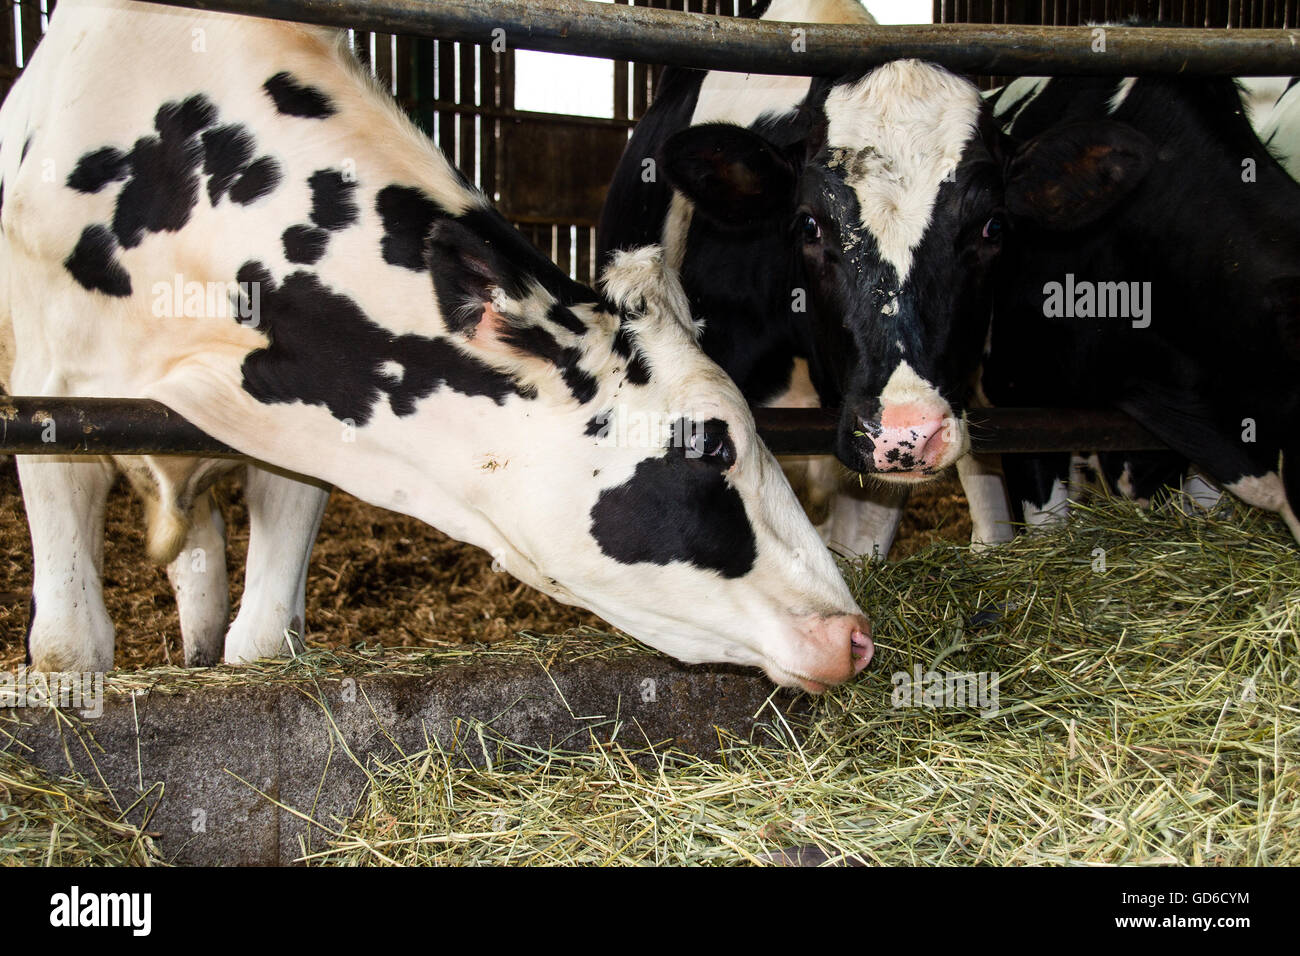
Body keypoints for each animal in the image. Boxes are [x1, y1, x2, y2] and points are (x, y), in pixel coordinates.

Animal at [0, 0, 874, 693]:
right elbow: (69, 648)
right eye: (712, 443)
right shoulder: (49, 404)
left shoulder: (305, 427)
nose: (854, 633)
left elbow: (264, 639)